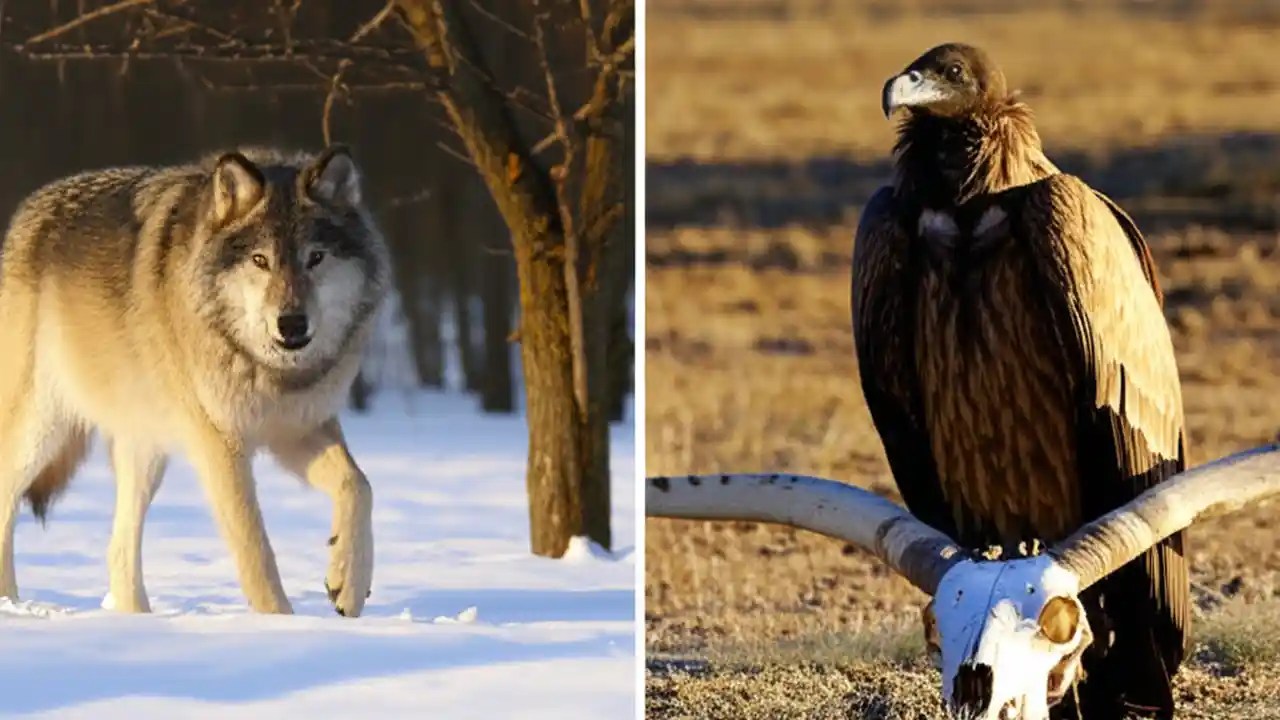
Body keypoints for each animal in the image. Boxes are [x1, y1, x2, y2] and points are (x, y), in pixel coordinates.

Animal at [0, 145, 390, 617]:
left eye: (315, 258)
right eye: (260, 260)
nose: (292, 324)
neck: (265, 367)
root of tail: (28, 209)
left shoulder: (296, 429)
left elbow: (360, 485)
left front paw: (348, 584)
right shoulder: (220, 446)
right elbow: (256, 552)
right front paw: (282, 624)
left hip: (144, 450)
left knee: (119, 550)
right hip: (40, 431)